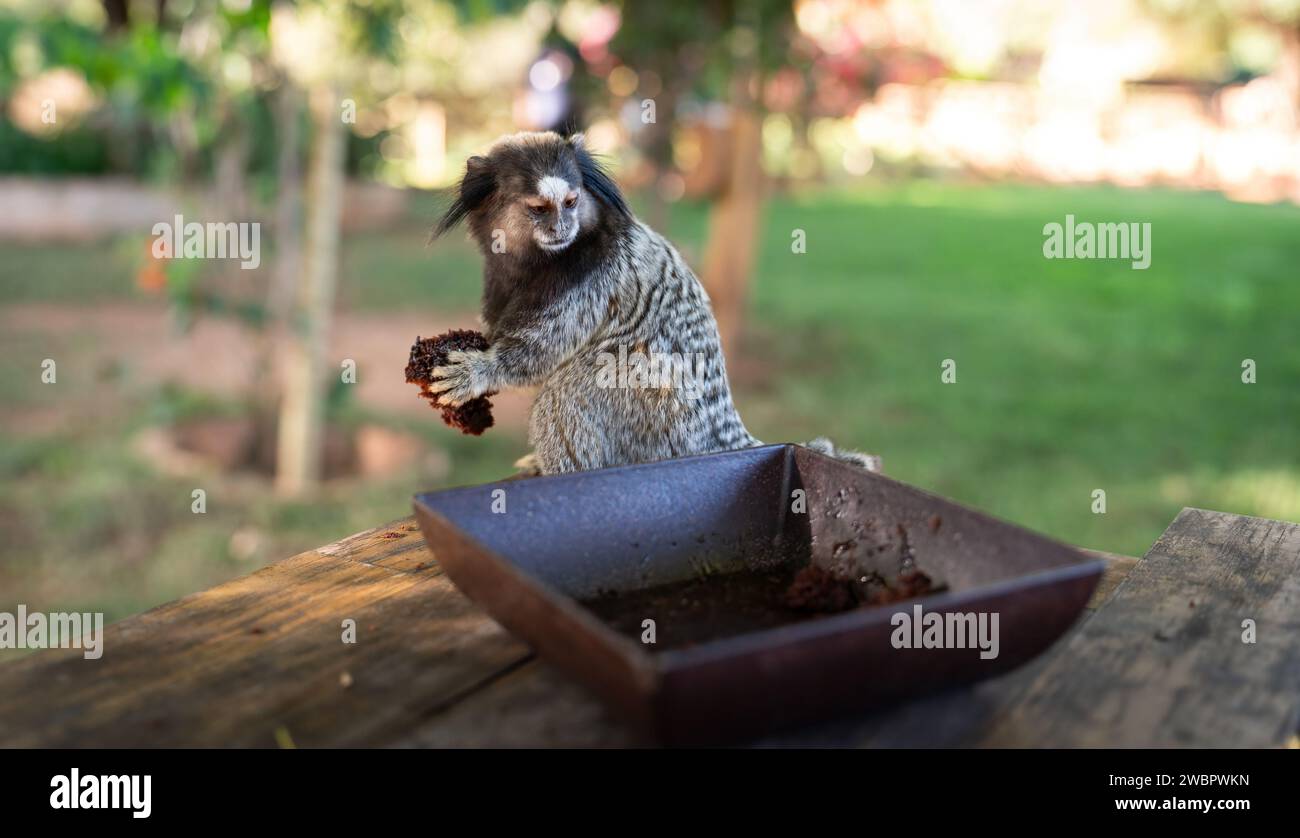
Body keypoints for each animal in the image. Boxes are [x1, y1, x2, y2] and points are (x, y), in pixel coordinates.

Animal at [425, 131, 880, 476]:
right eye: (539, 209)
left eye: (571, 203)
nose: (562, 227)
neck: (537, 261)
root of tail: (719, 436)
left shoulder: (593, 274)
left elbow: (541, 352)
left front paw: (480, 372)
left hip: (660, 420)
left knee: (577, 385)